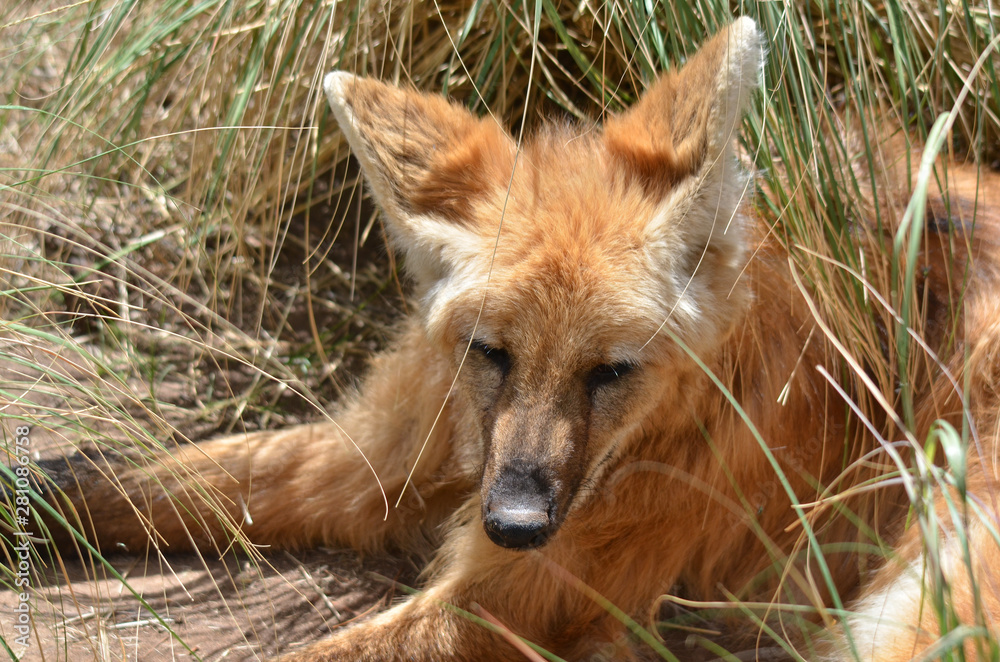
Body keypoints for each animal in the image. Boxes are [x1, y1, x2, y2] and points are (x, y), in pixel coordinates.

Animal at [31, 17, 1000, 661]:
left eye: (613, 370)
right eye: (491, 352)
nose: (515, 522)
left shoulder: (528, 593)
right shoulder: (388, 450)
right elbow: (138, 476)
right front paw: (29, 503)